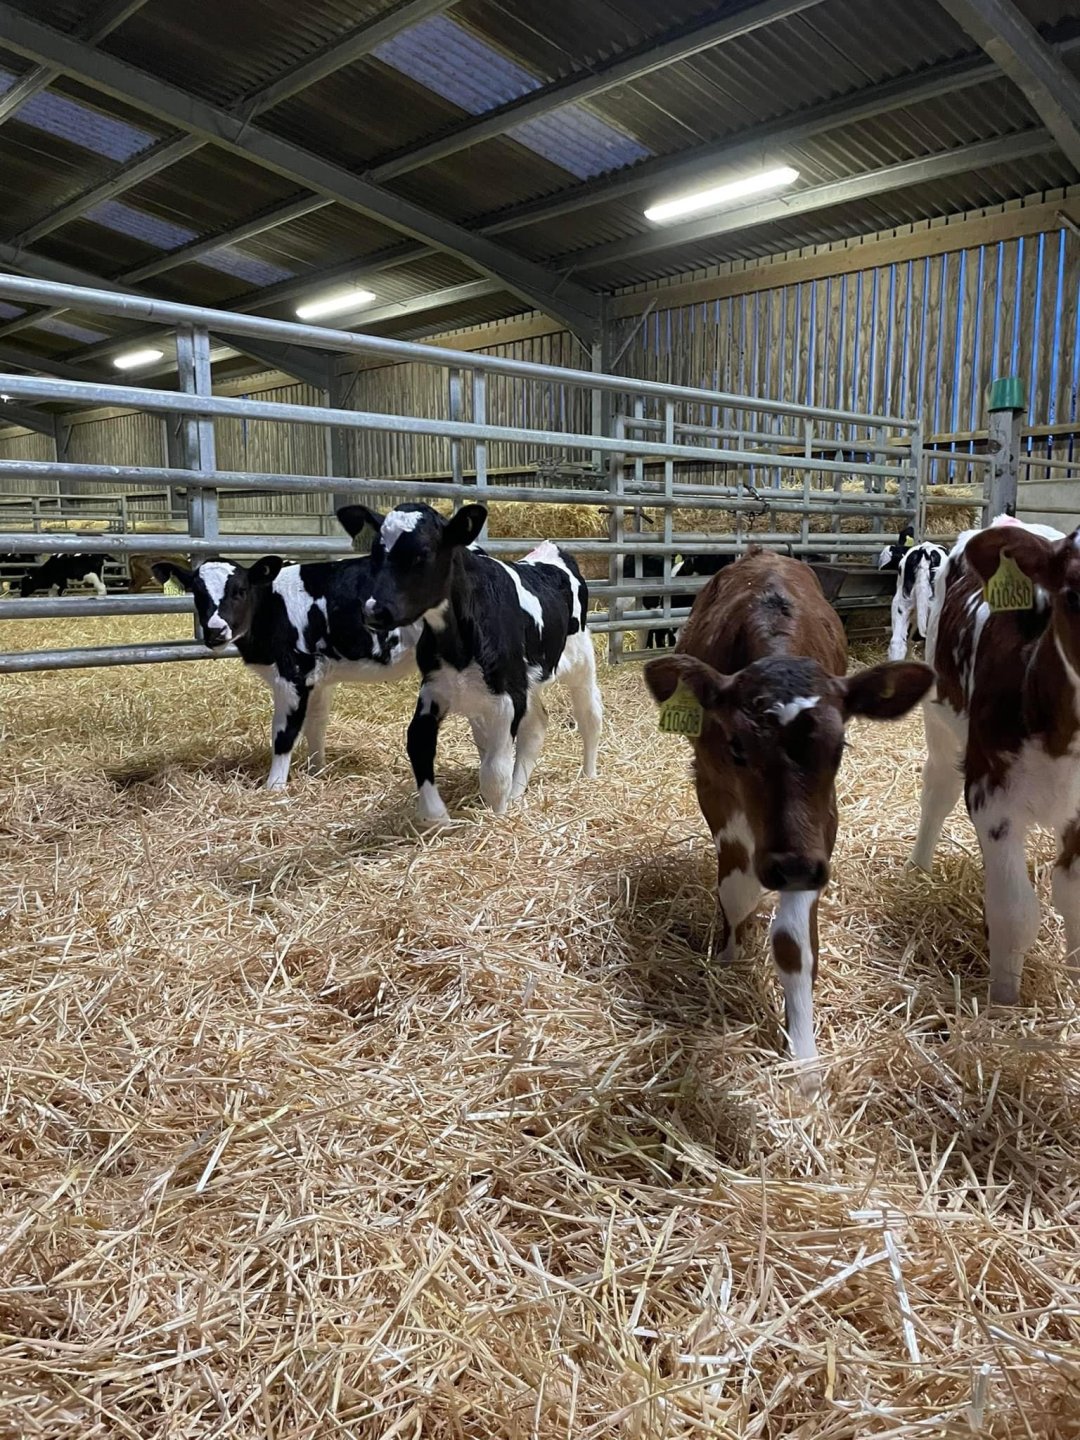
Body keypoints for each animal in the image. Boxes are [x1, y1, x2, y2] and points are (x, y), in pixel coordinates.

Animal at [151, 555, 421, 790]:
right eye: (197, 593)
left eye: (240, 591)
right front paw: (316, 773)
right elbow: (316, 725)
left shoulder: (293, 674)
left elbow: (284, 734)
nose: (215, 631)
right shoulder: (319, 678)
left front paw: (274, 788)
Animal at [335, 502, 603, 822]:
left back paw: (588, 775)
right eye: (376, 552)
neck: (458, 645)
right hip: (523, 682)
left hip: (580, 659)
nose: (373, 611)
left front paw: (497, 818)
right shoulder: (436, 688)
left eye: (422, 553)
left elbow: (495, 771)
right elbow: (418, 742)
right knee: (536, 724)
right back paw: (518, 792)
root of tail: (549, 549)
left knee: (590, 715)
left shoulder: (506, 695)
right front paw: (437, 816)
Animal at [643, 546, 932, 1093]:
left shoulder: (821, 826)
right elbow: (734, 886)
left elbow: (793, 942)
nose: (790, 868)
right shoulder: (713, 785)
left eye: (840, 746)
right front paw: (729, 953)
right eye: (737, 747)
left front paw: (803, 1058)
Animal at [909, 514, 1080, 1003]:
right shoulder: (992, 795)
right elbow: (1014, 913)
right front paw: (1003, 1003)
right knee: (937, 790)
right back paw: (918, 869)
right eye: (1074, 594)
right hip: (941, 718)